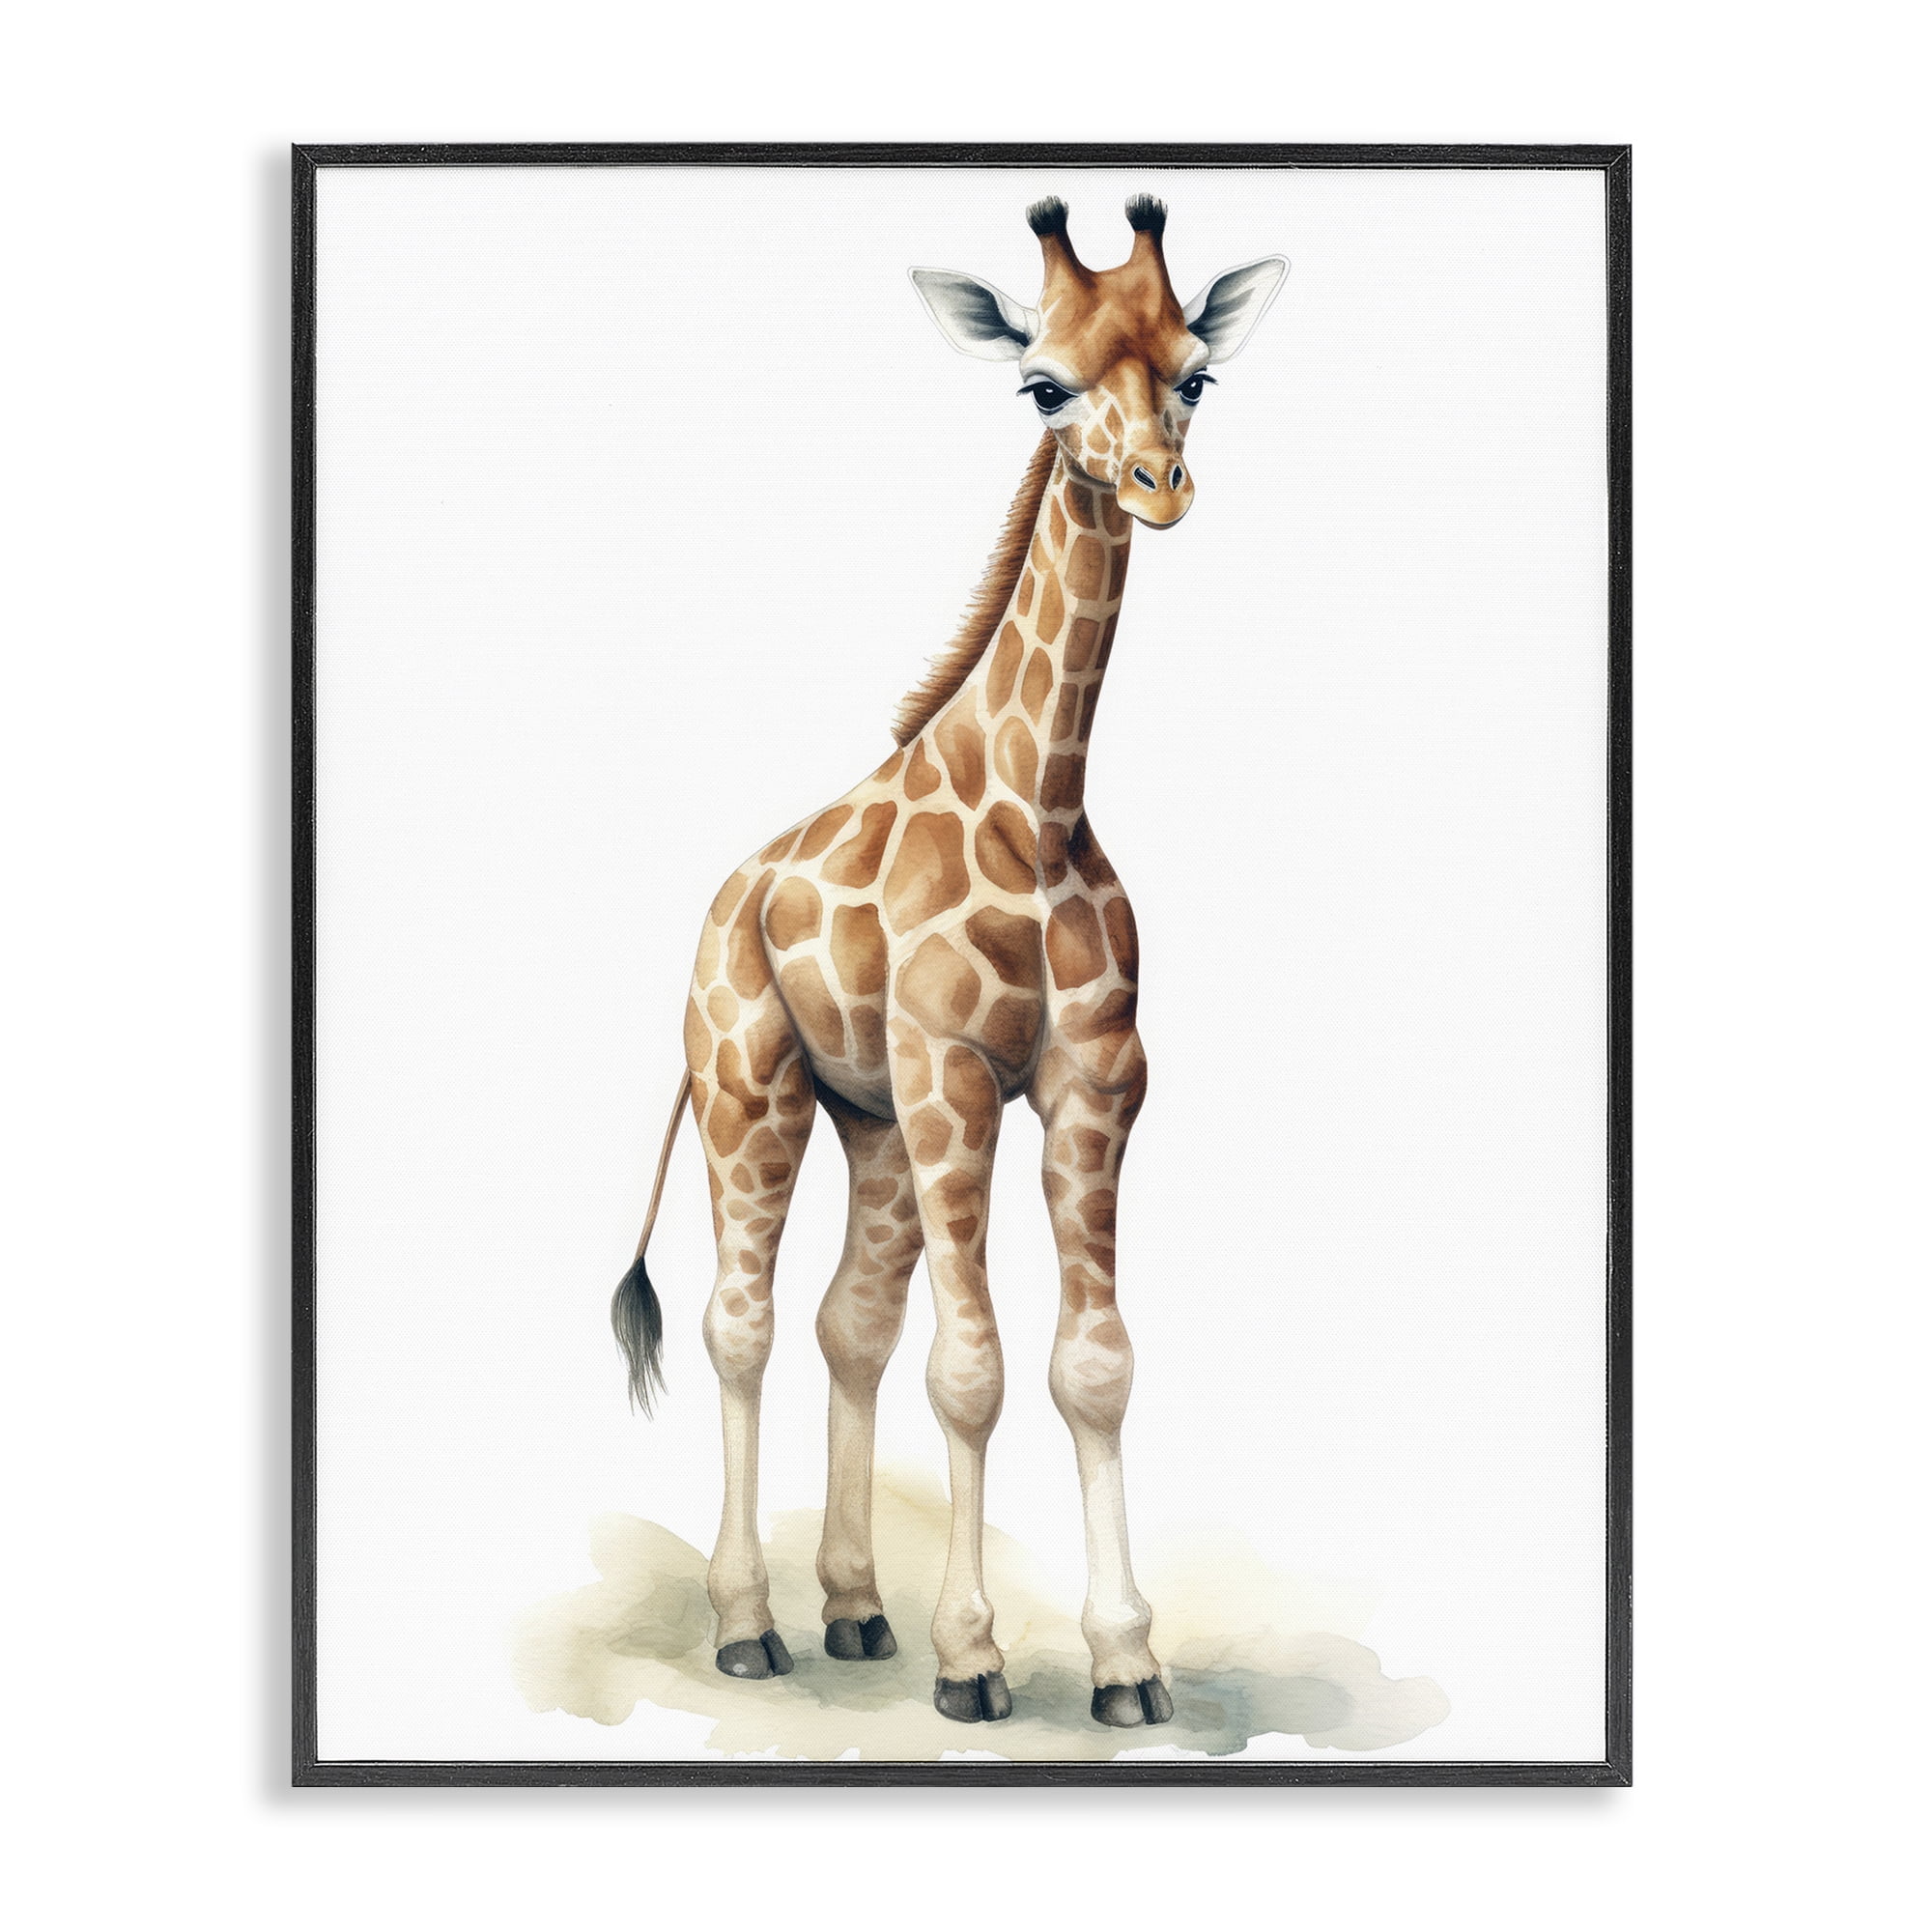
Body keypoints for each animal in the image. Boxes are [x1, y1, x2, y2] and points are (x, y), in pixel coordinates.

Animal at [613, 194, 1288, 1728]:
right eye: (1040, 382)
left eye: (1197, 373)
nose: (1159, 484)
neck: (1037, 806)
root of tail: (721, 900)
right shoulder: (956, 1076)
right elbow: (970, 1368)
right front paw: (974, 1655)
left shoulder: (1095, 1080)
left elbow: (1090, 1363)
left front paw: (1124, 1661)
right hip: (754, 1087)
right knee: (741, 1320)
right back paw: (749, 1625)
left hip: (866, 1121)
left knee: (843, 1321)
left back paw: (855, 1610)